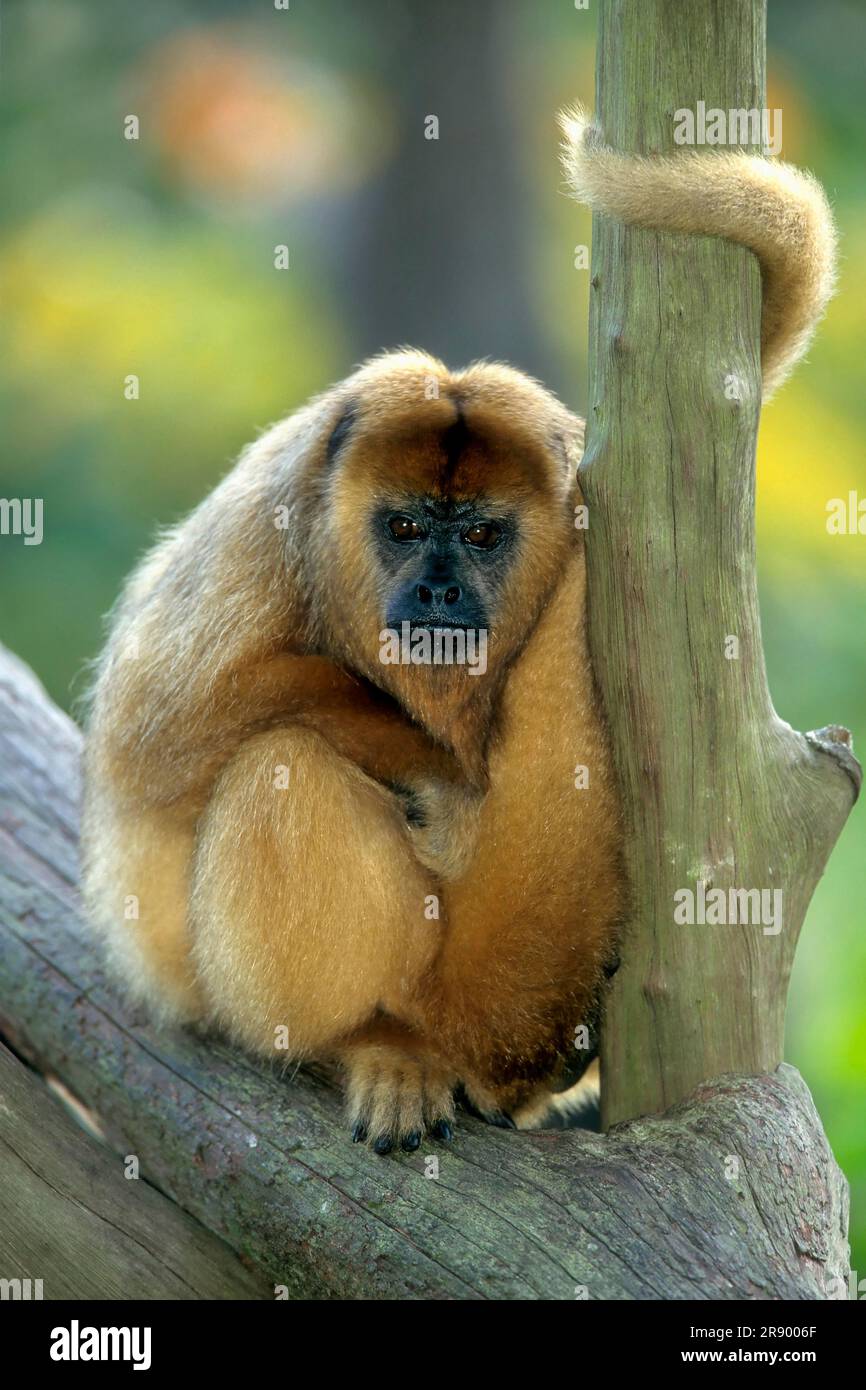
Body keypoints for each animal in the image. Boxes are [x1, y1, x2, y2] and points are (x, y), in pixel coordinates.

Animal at [82, 108, 836, 1153]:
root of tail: (465, 1031)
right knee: (282, 763)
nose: (438, 594)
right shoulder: (262, 527)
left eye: (480, 535)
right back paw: (361, 1040)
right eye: (404, 528)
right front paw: (440, 779)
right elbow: (155, 734)